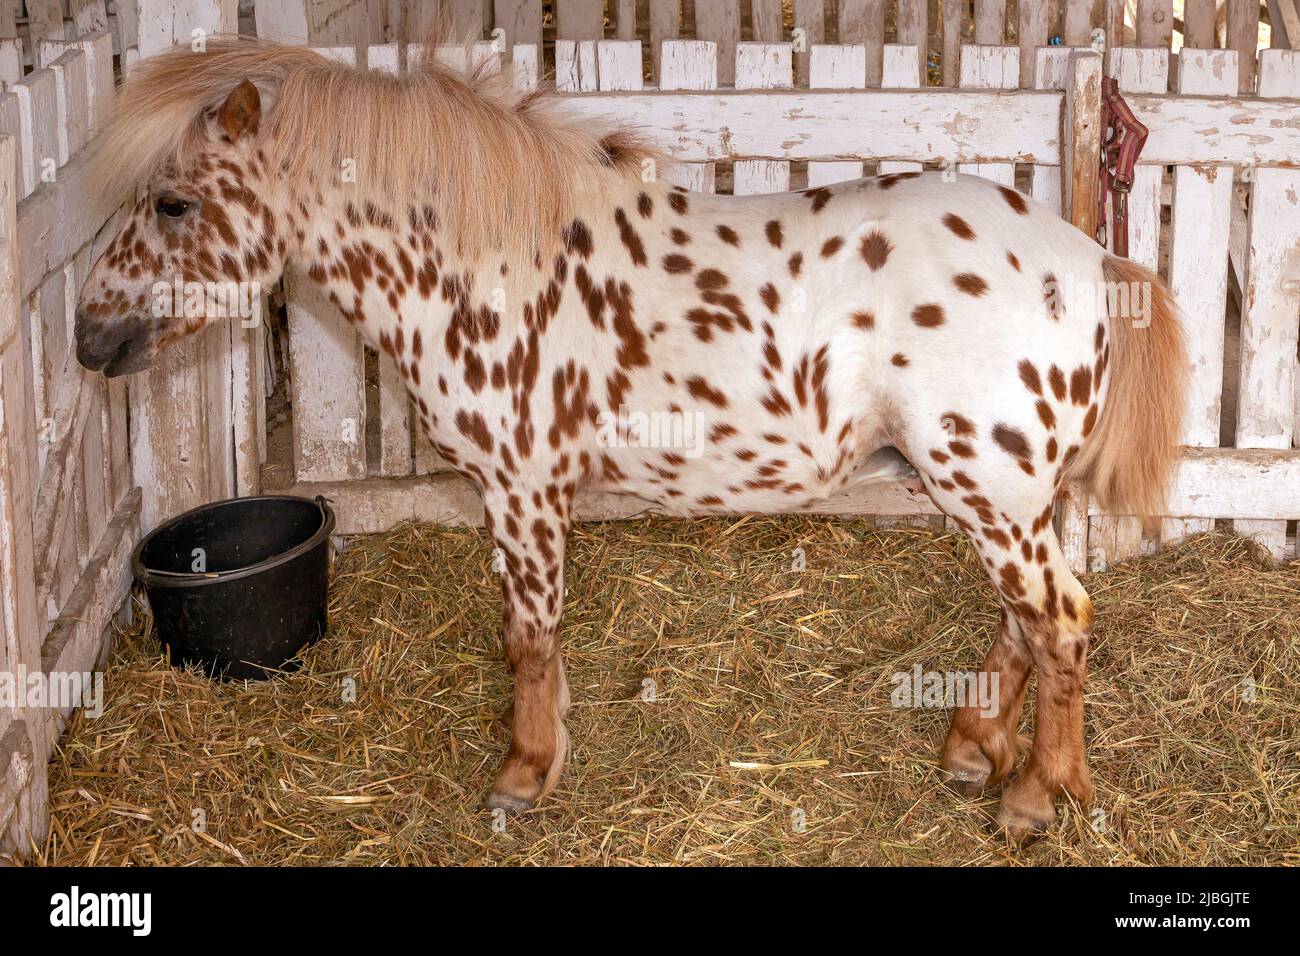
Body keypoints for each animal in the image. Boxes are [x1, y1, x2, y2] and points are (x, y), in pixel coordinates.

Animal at [74, 38, 1187, 842]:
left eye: (173, 202)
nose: (89, 336)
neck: (487, 263)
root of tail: (1088, 258)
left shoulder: (520, 487)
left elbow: (528, 634)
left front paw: (524, 773)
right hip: (1008, 495)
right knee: (1025, 622)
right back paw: (973, 745)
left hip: (988, 489)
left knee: (1061, 620)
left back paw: (1039, 793)